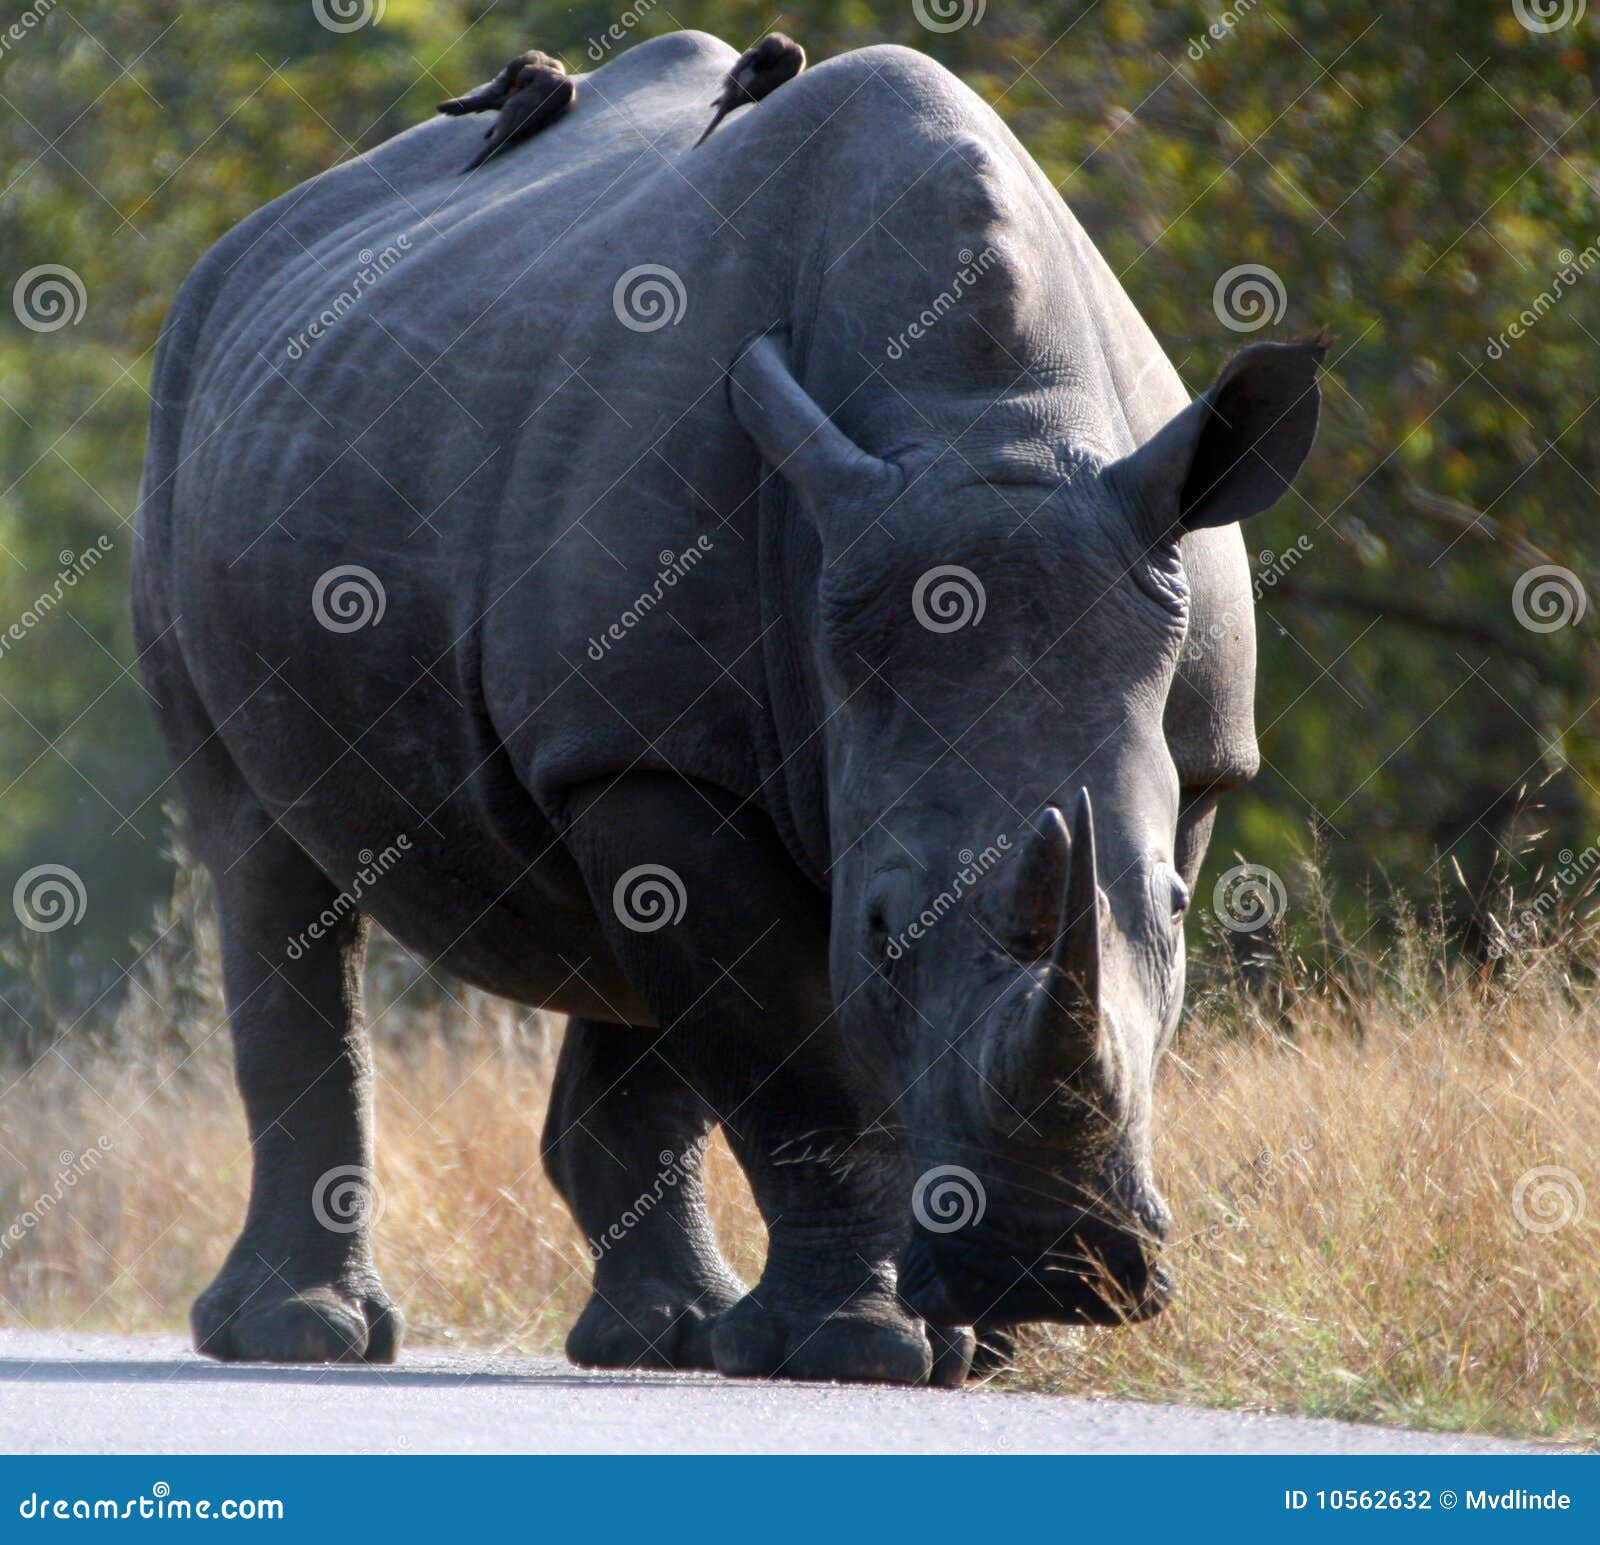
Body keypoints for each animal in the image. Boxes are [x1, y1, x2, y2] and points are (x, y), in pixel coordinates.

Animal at [134, 31, 1321, 1385]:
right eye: (878, 925)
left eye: (1180, 912)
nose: (1055, 1265)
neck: (992, 425)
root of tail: (248, 246)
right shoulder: (657, 751)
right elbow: (791, 1056)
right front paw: (857, 1350)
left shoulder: (1195, 752)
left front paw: (983, 1349)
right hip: (191, 439)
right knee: (261, 857)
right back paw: (301, 1335)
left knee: (623, 955)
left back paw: (664, 1340)